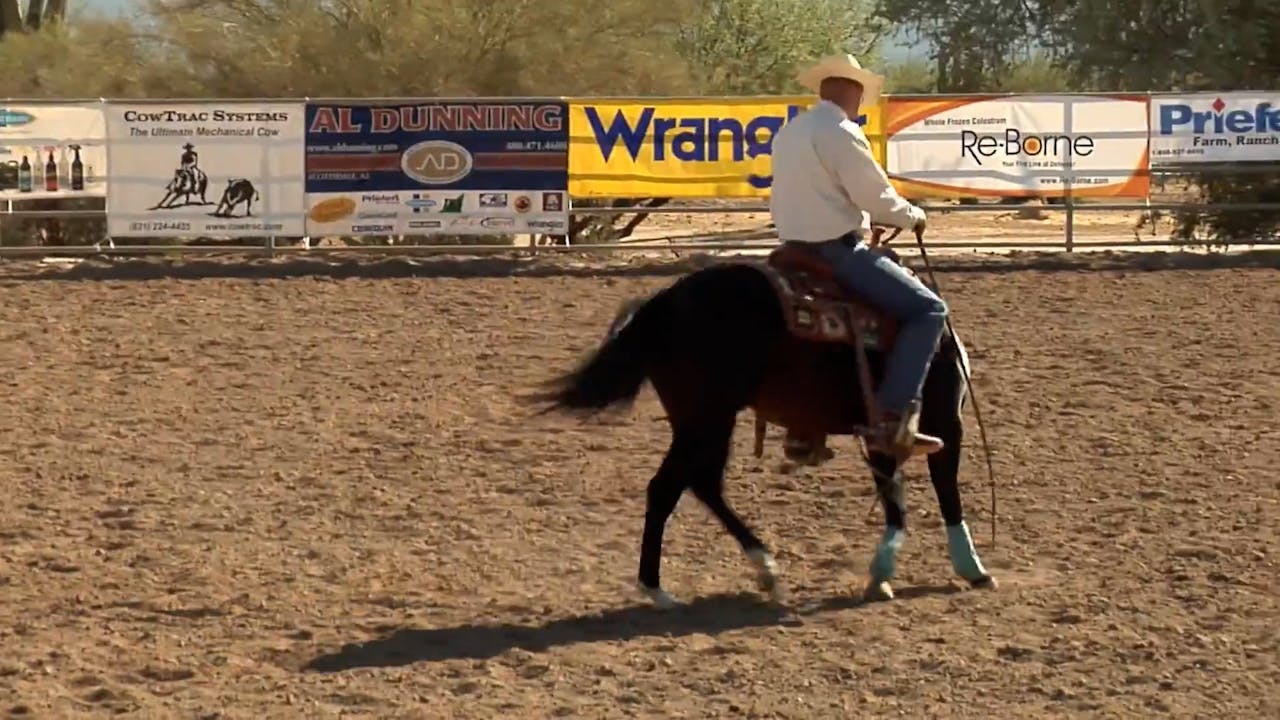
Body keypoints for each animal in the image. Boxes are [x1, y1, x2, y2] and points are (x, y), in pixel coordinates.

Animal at [534, 230, 997, 606]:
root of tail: (664, 304)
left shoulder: (880, 429)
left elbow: (893, 496)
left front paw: (883, 573)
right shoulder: (942, 421)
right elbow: (943, 492)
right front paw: (971, 569)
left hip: (703, 420)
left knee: (698, 484)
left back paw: (760, 570)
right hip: (706, 418)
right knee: (669, 487)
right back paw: (662, 588)